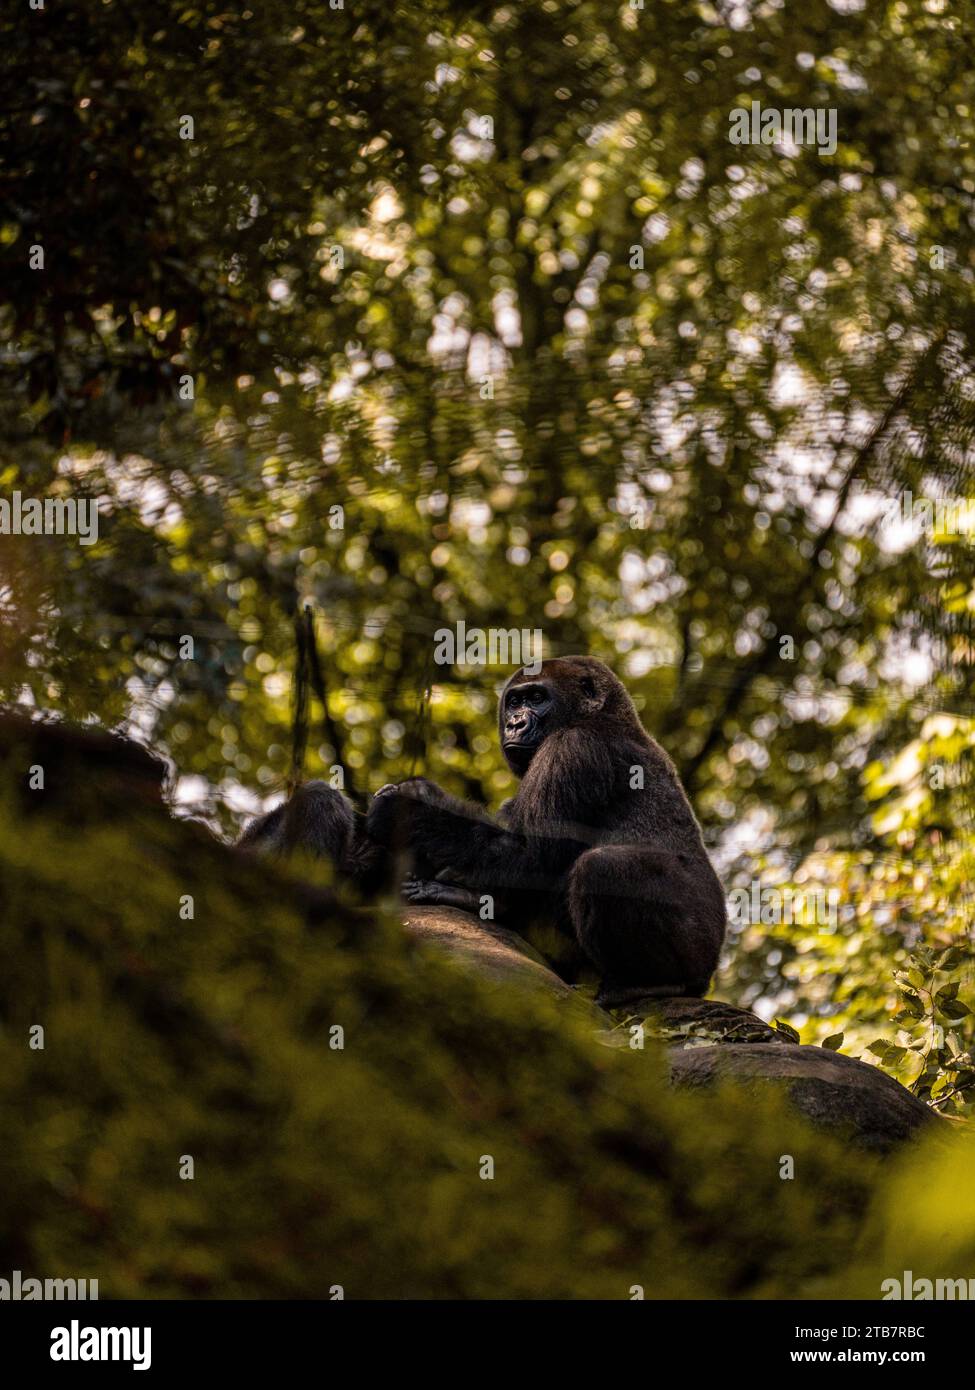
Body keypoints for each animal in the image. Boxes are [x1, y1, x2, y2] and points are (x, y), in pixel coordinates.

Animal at [363, 656, 727, 1003]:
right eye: (514, 702)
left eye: (537, 698)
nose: (515, 723)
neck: (603, 714)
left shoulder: (573, 747)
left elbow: (532, 854)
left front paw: (407, 808)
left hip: (699, 951)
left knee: (603, 866)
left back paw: (650, 982)